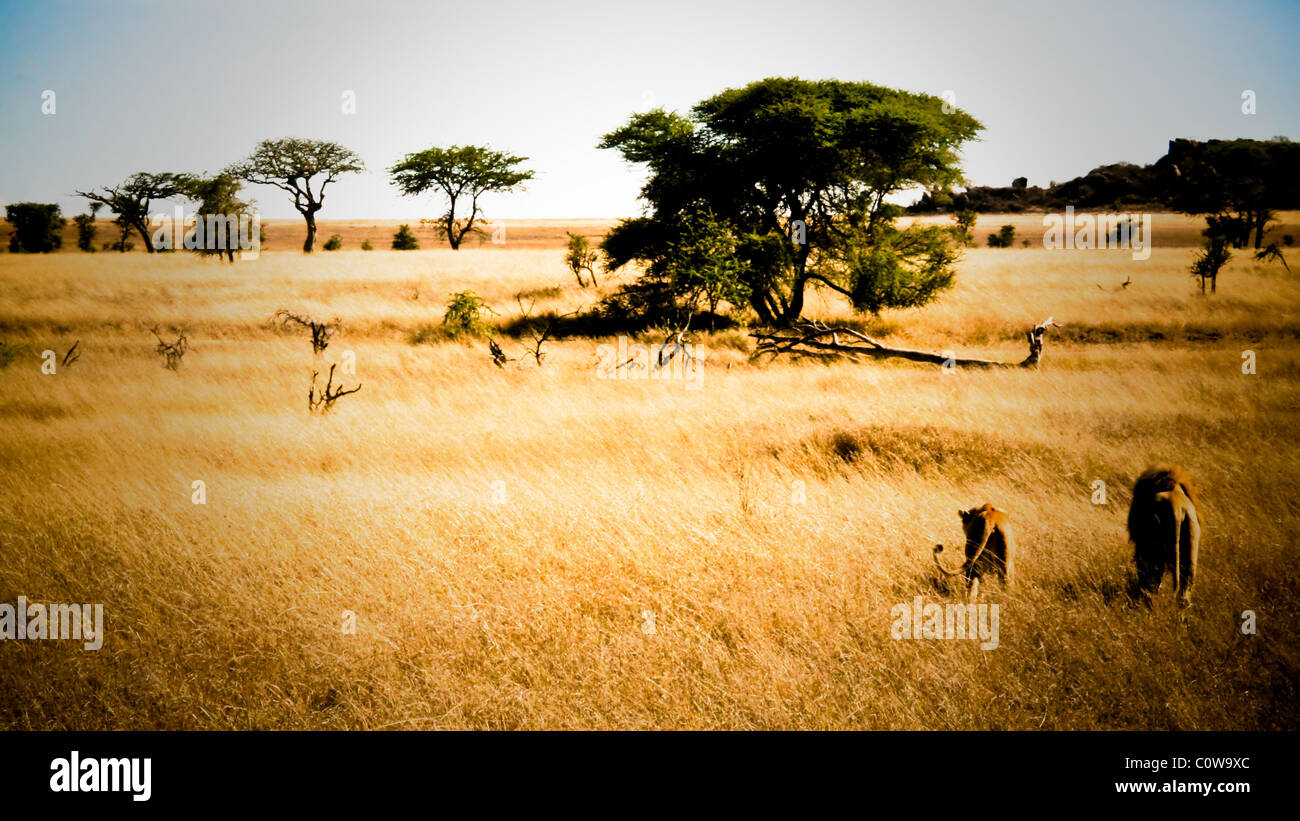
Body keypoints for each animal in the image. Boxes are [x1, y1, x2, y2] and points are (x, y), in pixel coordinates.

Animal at [1128, 465, 1201, 607]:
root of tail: (1177, 508)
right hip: (1191, 543)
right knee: (1186, 585)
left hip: (1152, 544)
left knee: (1151, 576)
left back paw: (1144, 598)